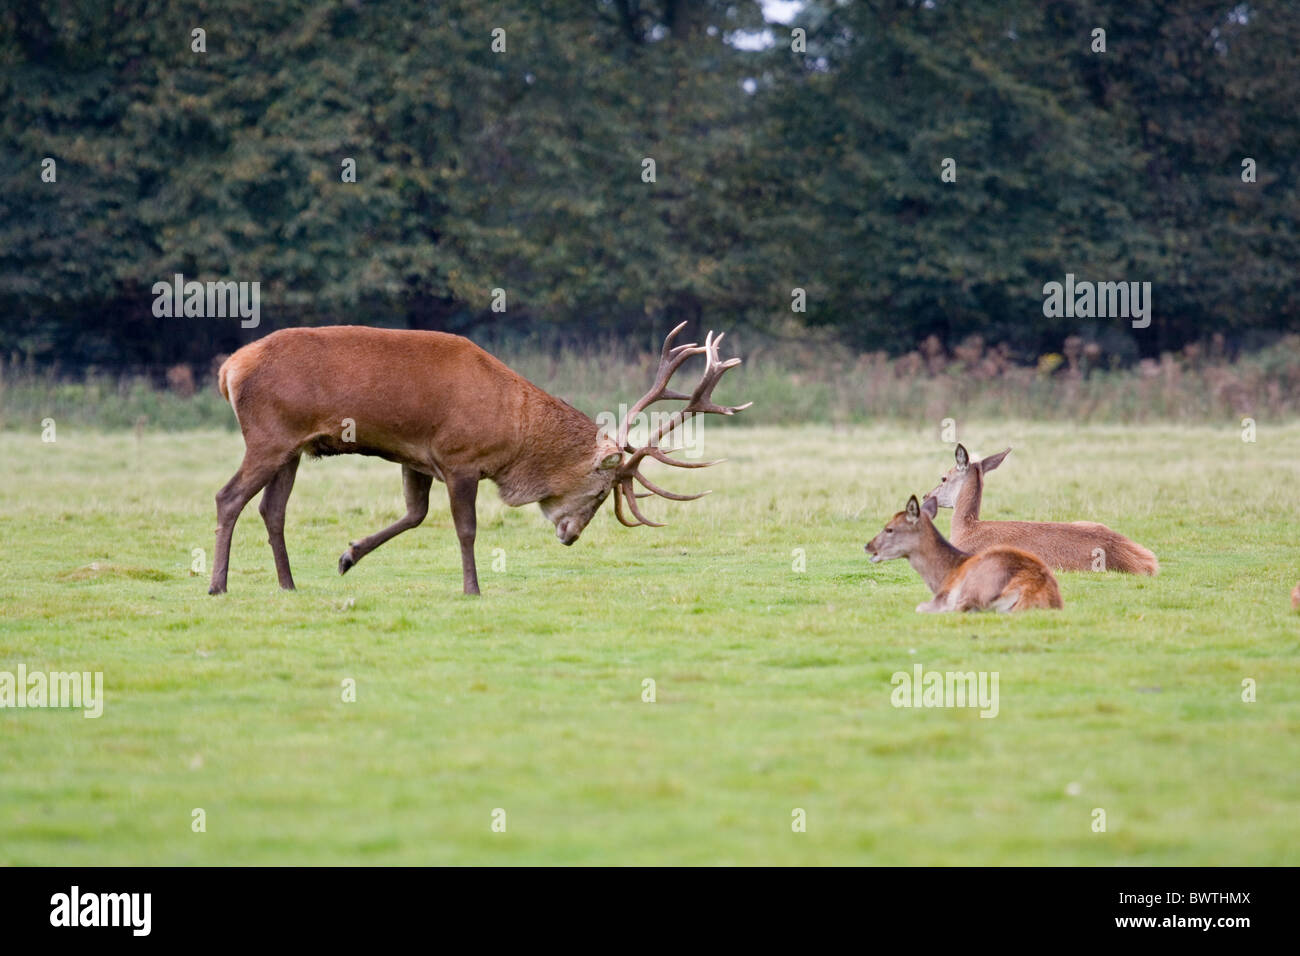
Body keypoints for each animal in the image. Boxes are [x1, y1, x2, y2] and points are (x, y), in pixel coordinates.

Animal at [208, 322, 750, 596]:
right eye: (600, 492)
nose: (570, 536)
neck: (511, 430)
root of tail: (229, 369)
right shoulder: (460, 457)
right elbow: (464, 528)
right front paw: (473, 588)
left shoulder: (417, 458)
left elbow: (414, 514)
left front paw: (347, 556)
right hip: (268, 435)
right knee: (228, 497)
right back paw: (218, 585)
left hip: (293, 447)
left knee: (271, 509)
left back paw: (288, 585)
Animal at [865, 495, 1063, 612]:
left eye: (889, 529)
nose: (868, 545)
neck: (943, 577)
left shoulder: (944, 597)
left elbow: (921, 607)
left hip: (977, 587)